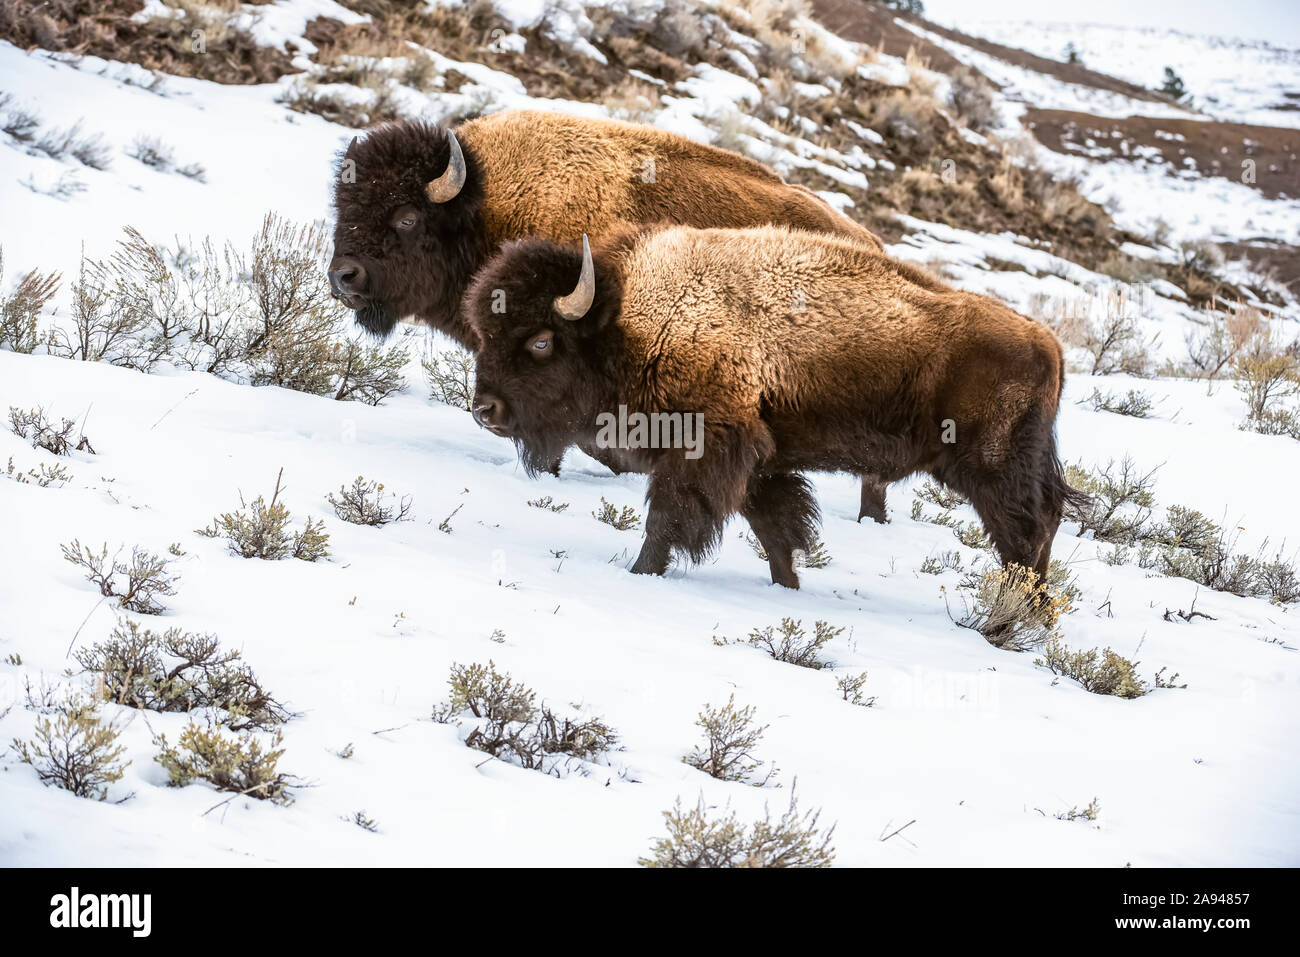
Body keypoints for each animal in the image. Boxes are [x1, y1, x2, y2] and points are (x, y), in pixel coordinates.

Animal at [465, 224, 1081, 589]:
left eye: (541, 341)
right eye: (486, 332)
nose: (485, 409)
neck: (630, 322)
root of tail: (1050, 343)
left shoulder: (704, 449)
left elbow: (667, 519)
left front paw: (642, 573)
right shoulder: (761, 458)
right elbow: (775, 528)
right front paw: (788, 584)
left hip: (991, 467)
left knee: (1025, 530)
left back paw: (1010, 614)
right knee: (1044, 521)